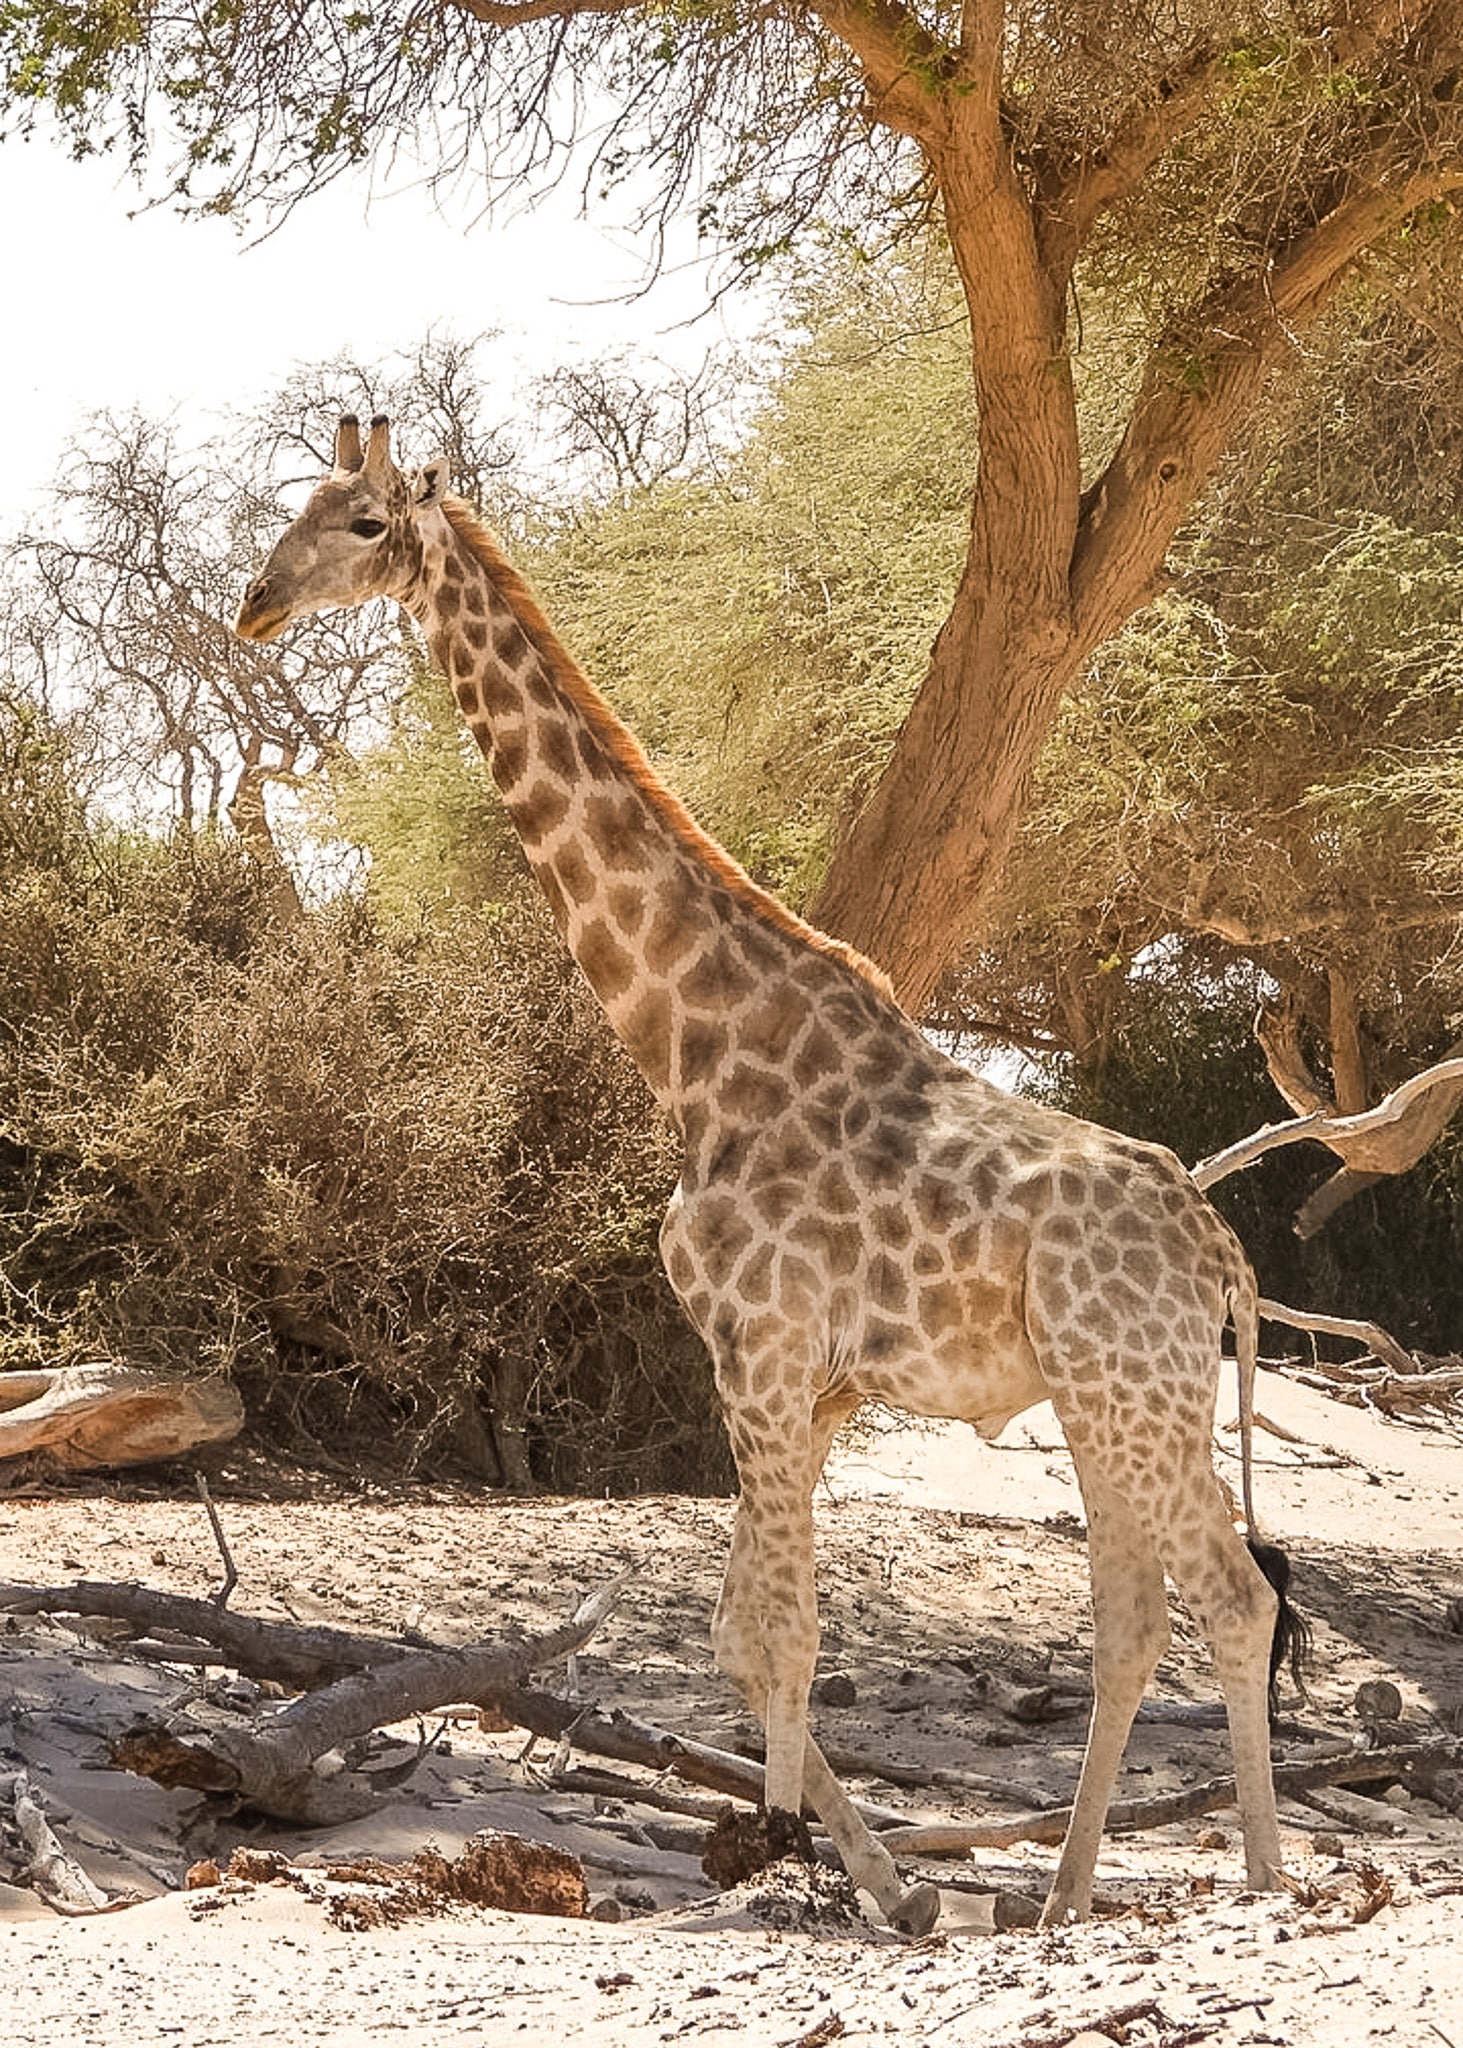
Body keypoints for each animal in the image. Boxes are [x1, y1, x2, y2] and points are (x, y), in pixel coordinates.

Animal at [236, 415, 1292, 1934]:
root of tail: (1220, 1249)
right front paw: (861, 1879)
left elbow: (778, 1633)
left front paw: (791, 1870)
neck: (693, 1051)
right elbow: (745, 1635)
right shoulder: (801, 1379)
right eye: (295, 509)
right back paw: (1085, 1891)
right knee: (1151, 1608)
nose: (256, 605)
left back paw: (1233, 1881)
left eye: (366, 523)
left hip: (1123, 1389)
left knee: (1223, 1591)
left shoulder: (763, 1352)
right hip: (1122, 1398)